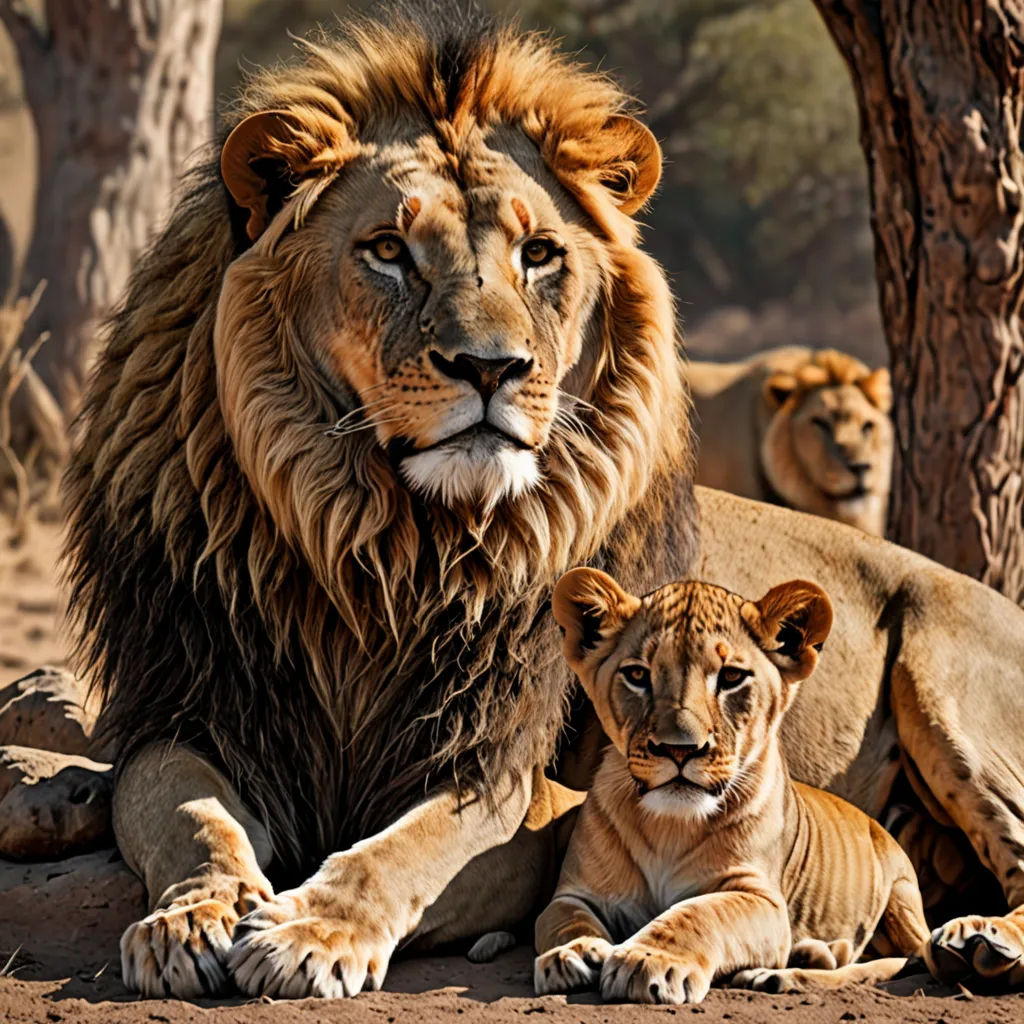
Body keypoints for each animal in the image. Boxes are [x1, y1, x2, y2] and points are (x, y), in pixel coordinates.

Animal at [537, 569, 930, 1004]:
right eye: (638, 675)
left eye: (731, 677)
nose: (679, 748)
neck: (668, 825)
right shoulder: (574, 892)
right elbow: (562, 918)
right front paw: (572, 953)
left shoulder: (762, 899)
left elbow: (701, 913)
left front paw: (649, 960)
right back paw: (813, 953)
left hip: (902, 898)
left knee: (905, 961)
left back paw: (779, 974)